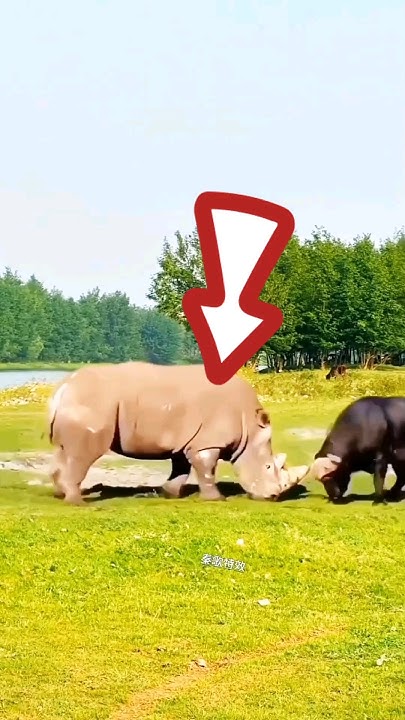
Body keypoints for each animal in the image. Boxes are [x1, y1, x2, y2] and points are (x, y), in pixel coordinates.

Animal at [47, 361, 308, 505]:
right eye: (268, 466)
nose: (274, 497)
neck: (250, 429)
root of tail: (63, 387)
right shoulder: (207, 442)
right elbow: (206, 469)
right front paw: (217, 499)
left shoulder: (187, 440)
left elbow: (181, 468)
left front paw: (170, 494)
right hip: (93, 403)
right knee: (84, 453)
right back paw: (78, 502)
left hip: (81, 403)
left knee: (65, 451)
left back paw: (61, 494)